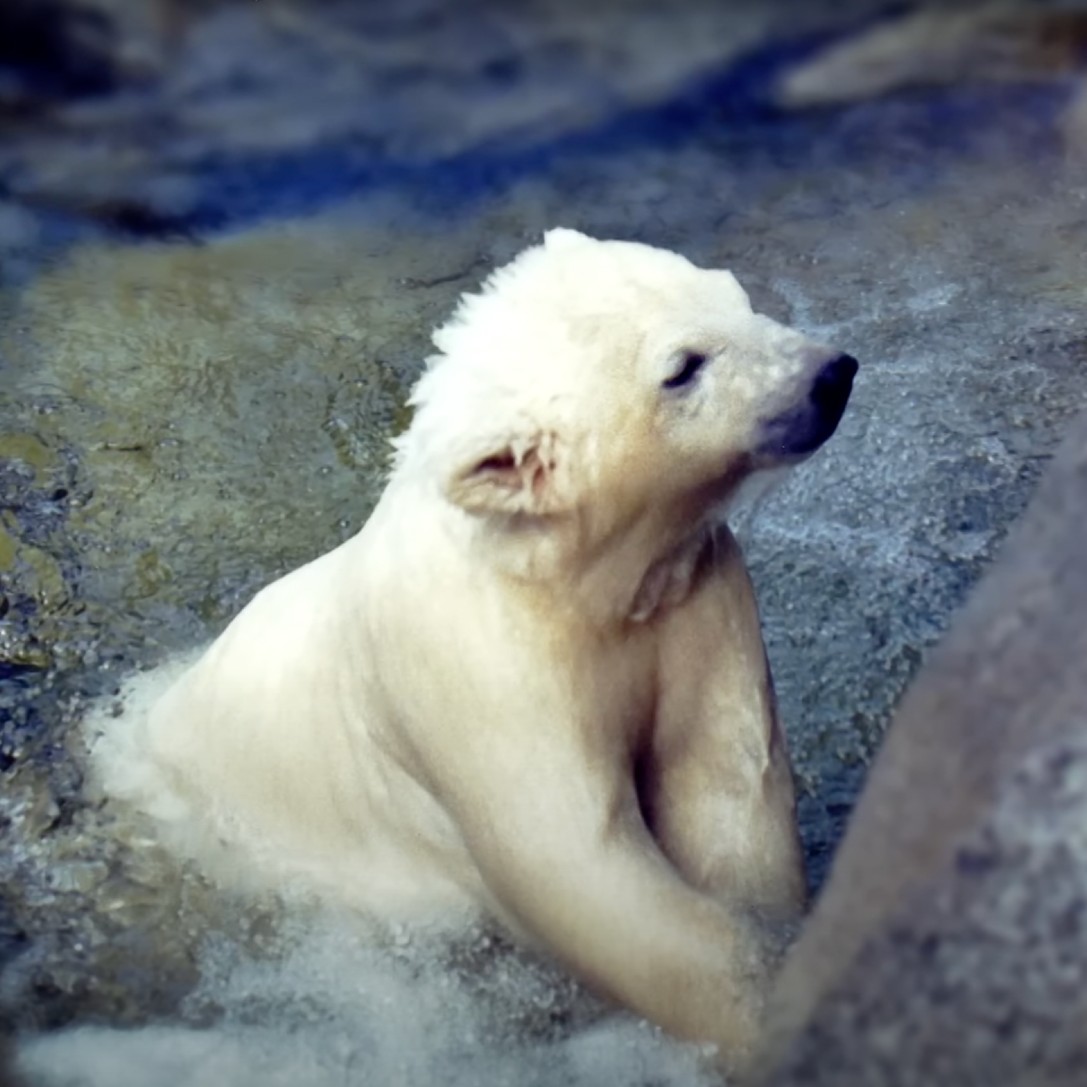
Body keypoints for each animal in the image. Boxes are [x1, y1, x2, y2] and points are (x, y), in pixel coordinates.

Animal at [89, 227, 856, 1074]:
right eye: (682, 366)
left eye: (734, 295)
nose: (830, 375)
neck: (564, 575)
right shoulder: (478, 666)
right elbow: (577, 864)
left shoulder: (694, 595)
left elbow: (728, 785)